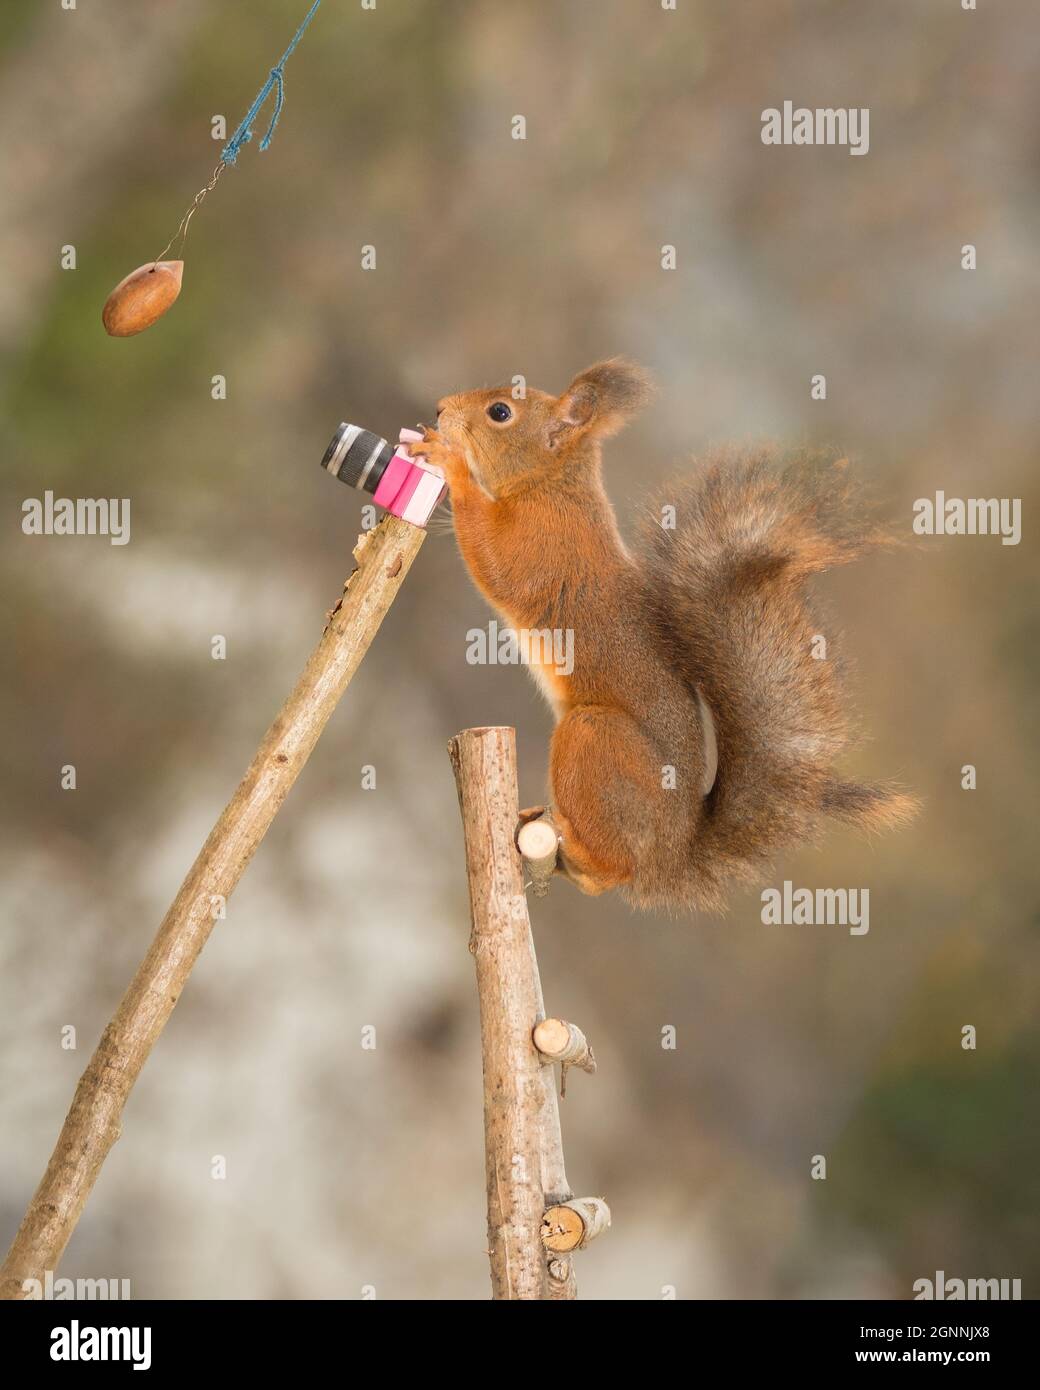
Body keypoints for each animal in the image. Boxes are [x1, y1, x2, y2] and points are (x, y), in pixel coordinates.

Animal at [408, 358, 916, 913]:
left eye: (500, 412)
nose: (439, 408)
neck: (549, 484)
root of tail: (669, 859)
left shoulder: (542, 544)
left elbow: (495, 561)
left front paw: (448, 462)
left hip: (596, 740)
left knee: (609, 869)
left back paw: (577, 844)